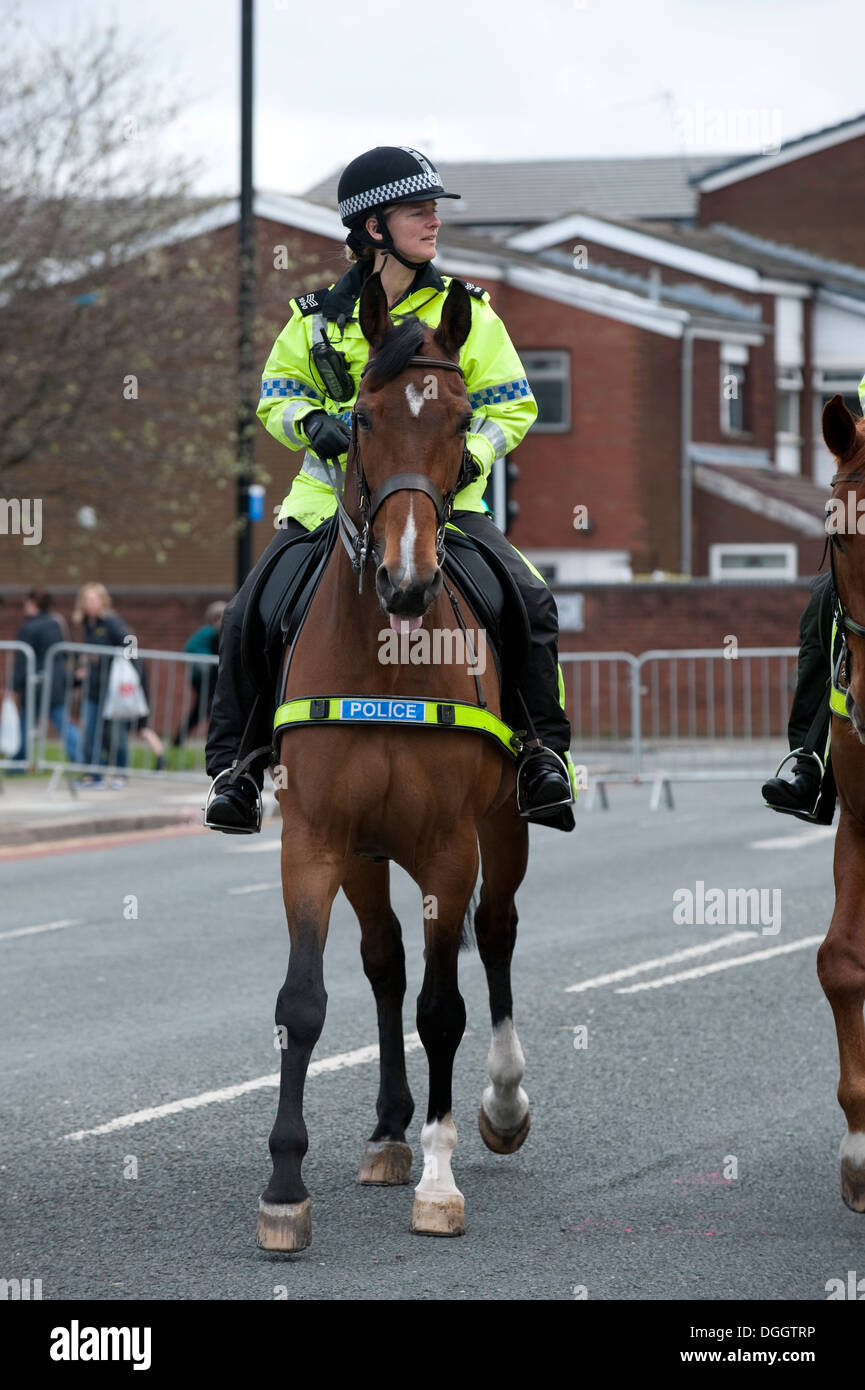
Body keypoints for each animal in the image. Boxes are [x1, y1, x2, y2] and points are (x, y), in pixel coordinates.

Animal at [255, 273, 533, 1250]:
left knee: (496, 934)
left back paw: (502, 1102)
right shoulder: (313, 840)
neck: (385, 657)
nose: (407, 583)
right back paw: (384, 1132)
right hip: (367, 855)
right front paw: (284, 1189)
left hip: (502, 830)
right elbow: (304, 1002)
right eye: (362, 417)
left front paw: (439, 1184)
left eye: (460, 419)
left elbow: (442, 1009)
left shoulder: (450, 847)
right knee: (382, 964)